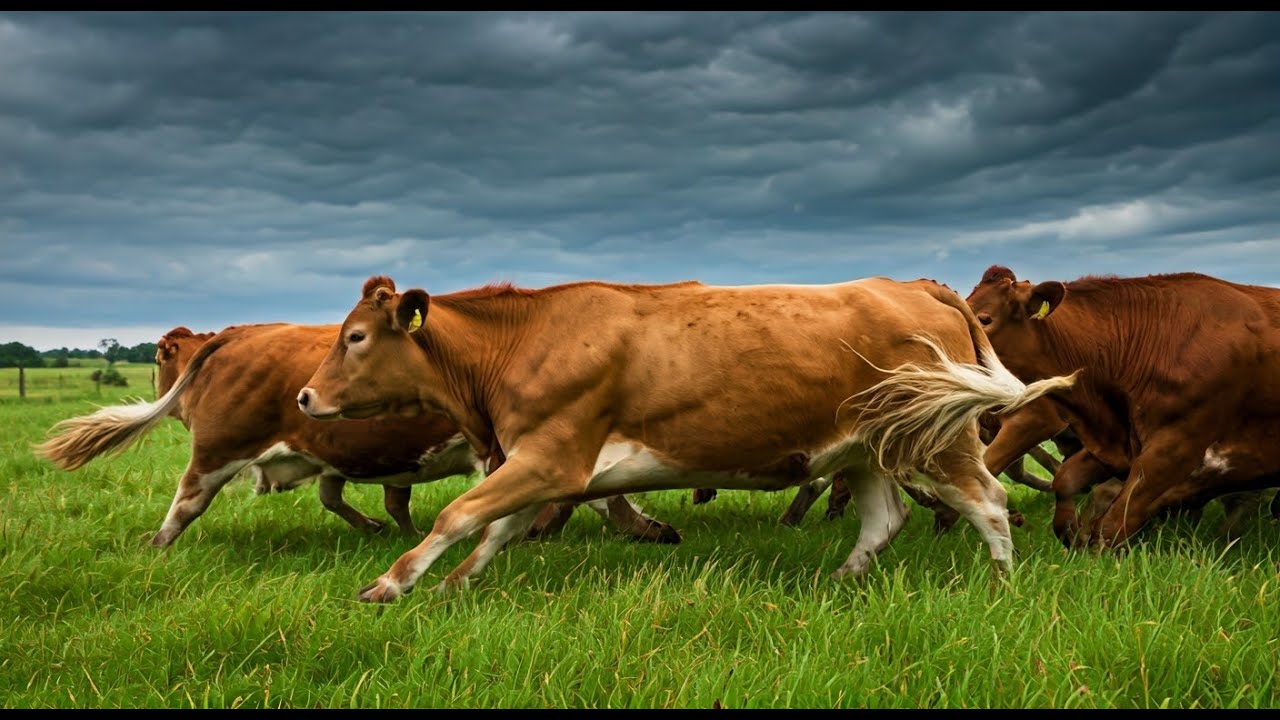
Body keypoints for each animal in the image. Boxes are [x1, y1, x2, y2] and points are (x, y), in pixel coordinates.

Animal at [297, 275, 1076, 603]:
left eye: (355, 337)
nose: (305, 396)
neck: (524, 341)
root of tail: (914, 285)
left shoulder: (551, 457)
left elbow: (460, 515)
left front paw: (391, 583)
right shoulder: (536, 461)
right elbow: (494, 529)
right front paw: (456, 584)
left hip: (936, 441)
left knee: (989, 501)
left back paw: (1001, 585)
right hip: (867, 449)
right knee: (886, 520)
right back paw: (836, 582)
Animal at [966, 265, 1280, 548]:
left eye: (984, 319)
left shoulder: (1174, 450)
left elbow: (1113, 522)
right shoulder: (1117, 446)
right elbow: (1065, 480)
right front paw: (1073, 534)